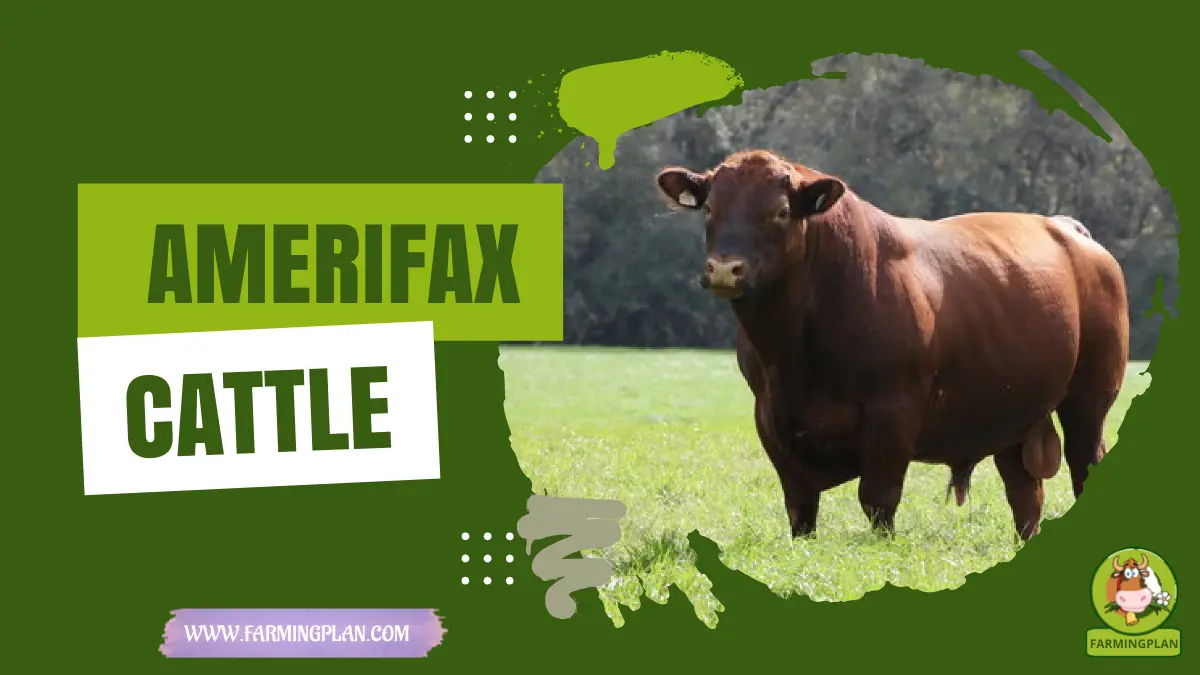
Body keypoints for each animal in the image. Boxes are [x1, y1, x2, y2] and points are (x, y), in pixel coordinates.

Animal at [654, 149, 1129, 541]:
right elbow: (800, 507)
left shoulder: (893, 411)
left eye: (781, 211)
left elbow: (878, 499)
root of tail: (1066, 227)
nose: (724, 269)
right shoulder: (770, 417)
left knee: (1084, 464)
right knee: (1024, 493)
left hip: (1090, 398)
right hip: (1013, 412)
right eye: (710, 208)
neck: (794, 352)